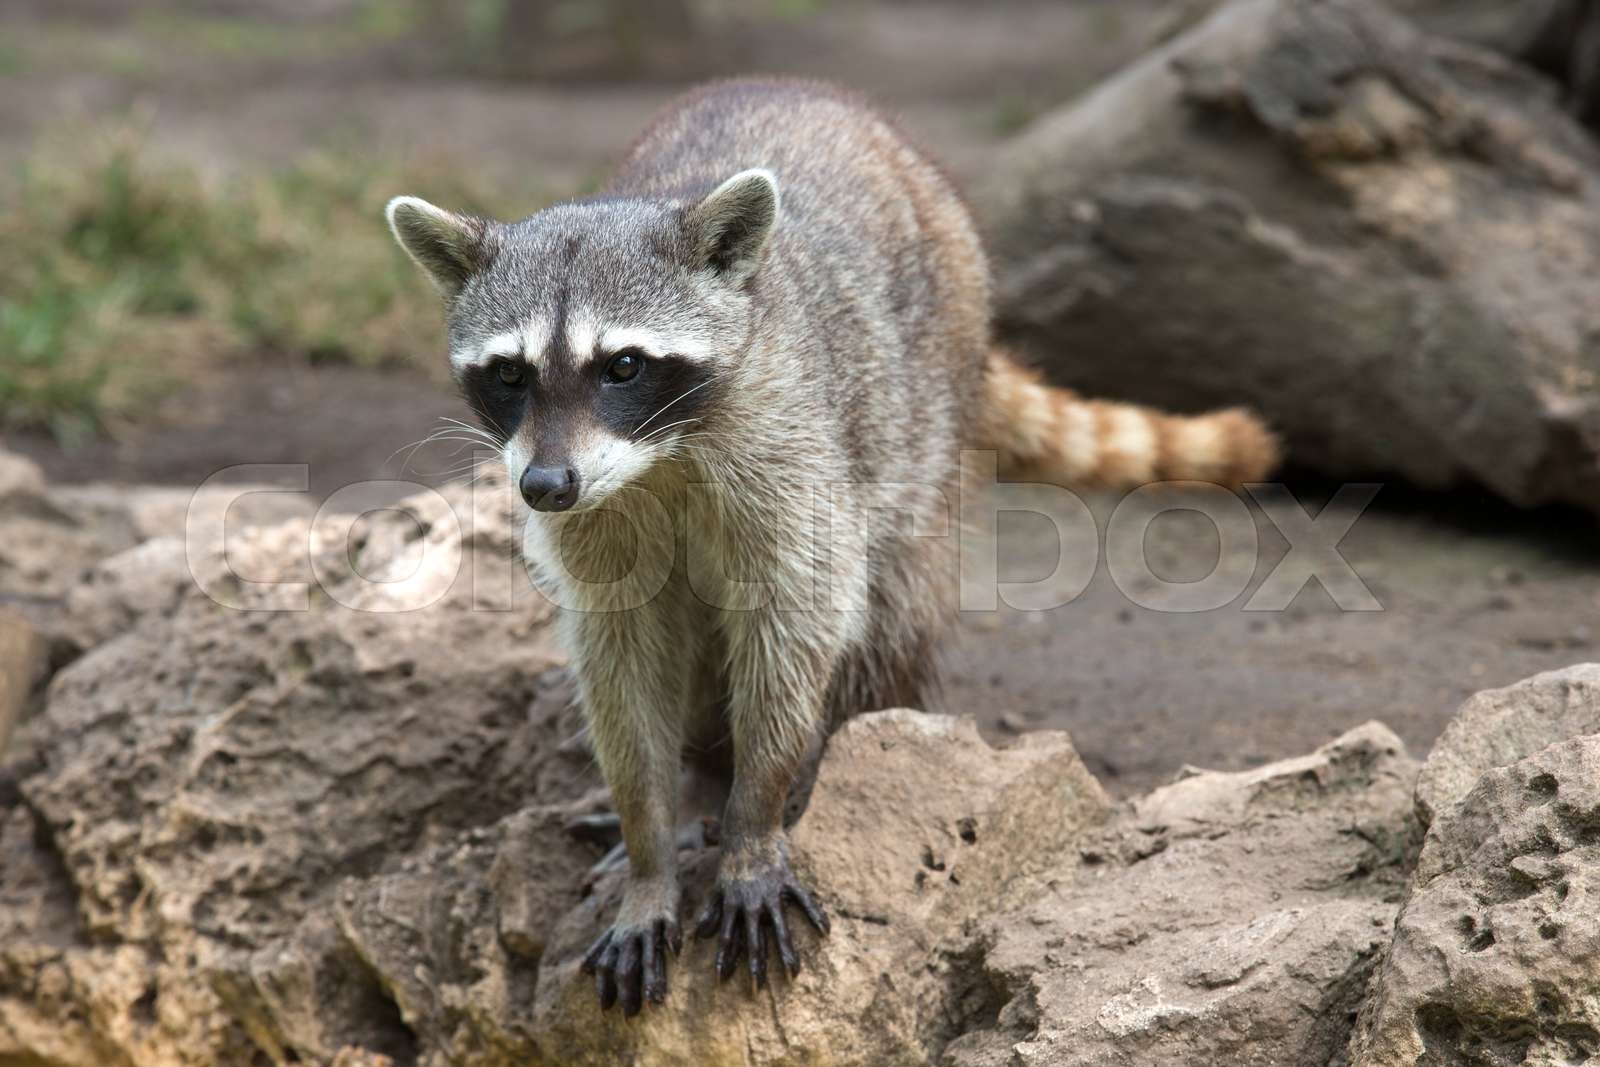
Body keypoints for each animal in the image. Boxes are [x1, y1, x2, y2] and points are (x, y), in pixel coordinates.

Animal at [386, 78, 1276, 1017]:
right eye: (509, 373)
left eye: (622, 365)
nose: (545, 485)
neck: (658, 457)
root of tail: (810, 92)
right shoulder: (597, 514)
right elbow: (623, 654)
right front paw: (651, 844)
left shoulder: (792, 447)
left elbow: (797, 620)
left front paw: (755, 815)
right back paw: (700, 779)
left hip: (926, 399)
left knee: (887, 608)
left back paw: (824, 753)